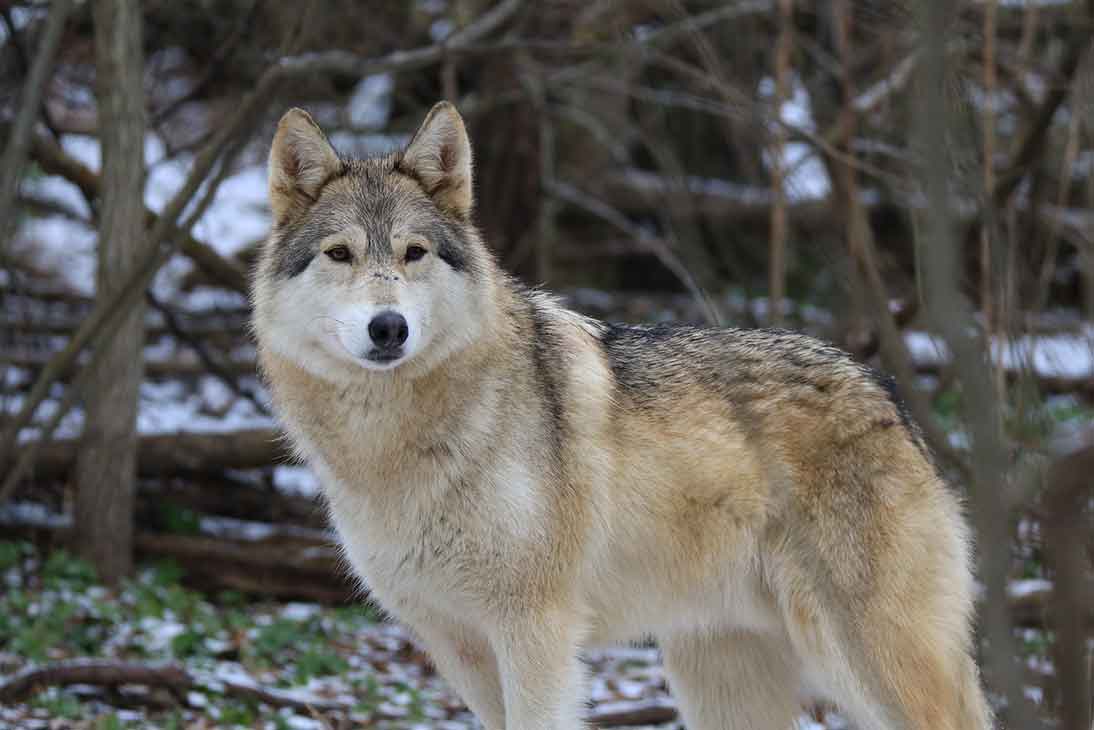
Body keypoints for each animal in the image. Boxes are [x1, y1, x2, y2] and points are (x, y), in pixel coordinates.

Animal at [252, 102, 993, 730]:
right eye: (340, 254)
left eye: (414, 253)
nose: (388, 328)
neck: (390, 448)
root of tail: (885, 391)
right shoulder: (457, 647)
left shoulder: (536, 632)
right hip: (719, 678)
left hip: (866, 662)